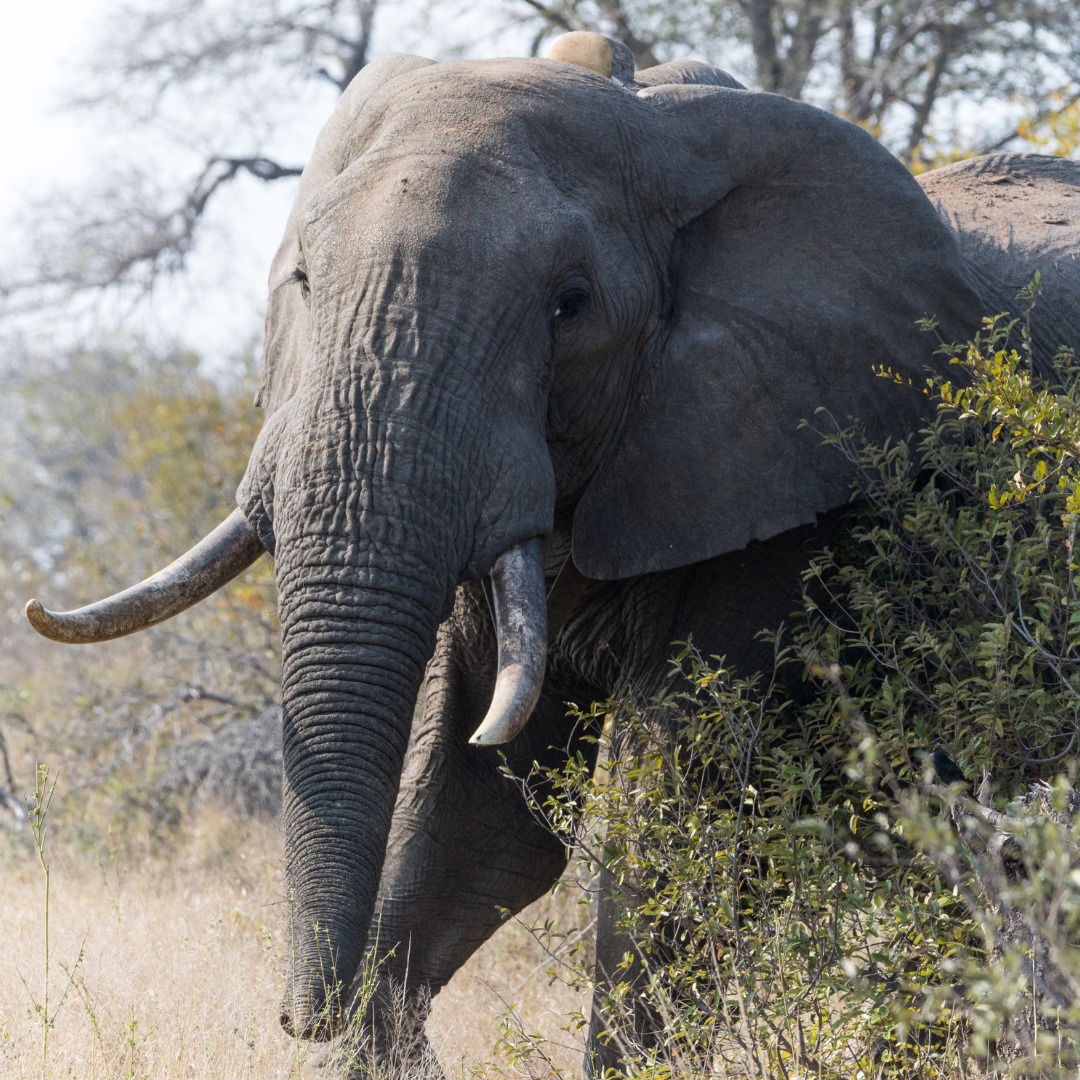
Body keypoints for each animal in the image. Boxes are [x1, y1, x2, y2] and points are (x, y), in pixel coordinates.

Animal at [25, 30, 1080, 1076]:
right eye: (304, 283)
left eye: (571, 305)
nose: (299, 1020)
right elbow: (482, 828)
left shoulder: (786, 486)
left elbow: (673, 830)